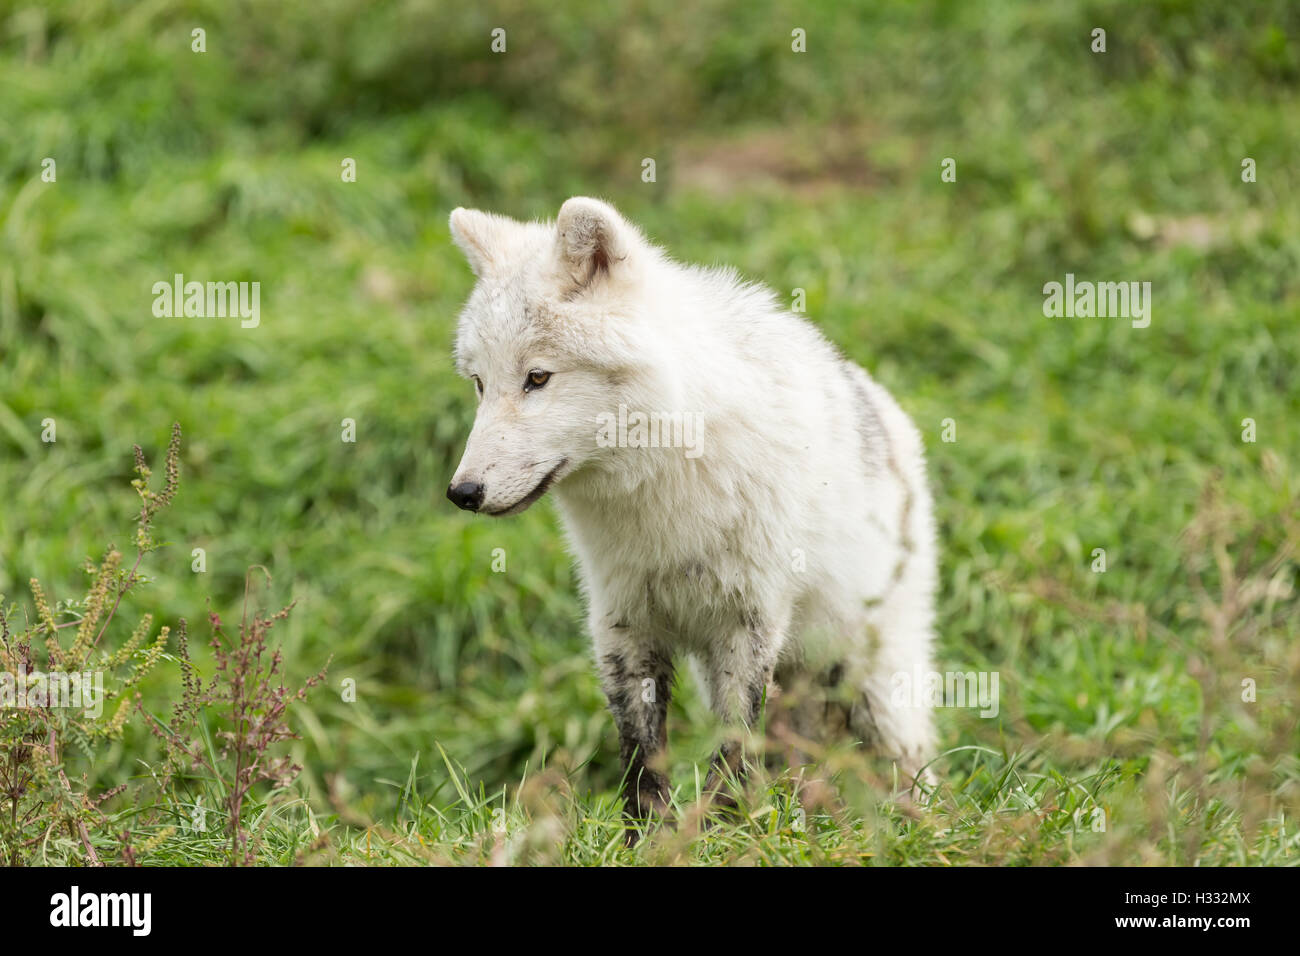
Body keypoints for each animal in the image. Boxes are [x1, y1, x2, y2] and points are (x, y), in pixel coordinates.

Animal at [446, 197, 938, 839]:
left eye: (537, 378)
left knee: (911, 762)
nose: (462, 492)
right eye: (480, 384)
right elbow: (640, 748)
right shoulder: (621, 621)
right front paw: (645, 837)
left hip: (872, 681)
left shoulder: (750, 621)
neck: (662, 485)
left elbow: (734, 743)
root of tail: (883, 406)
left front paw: (726, 830)